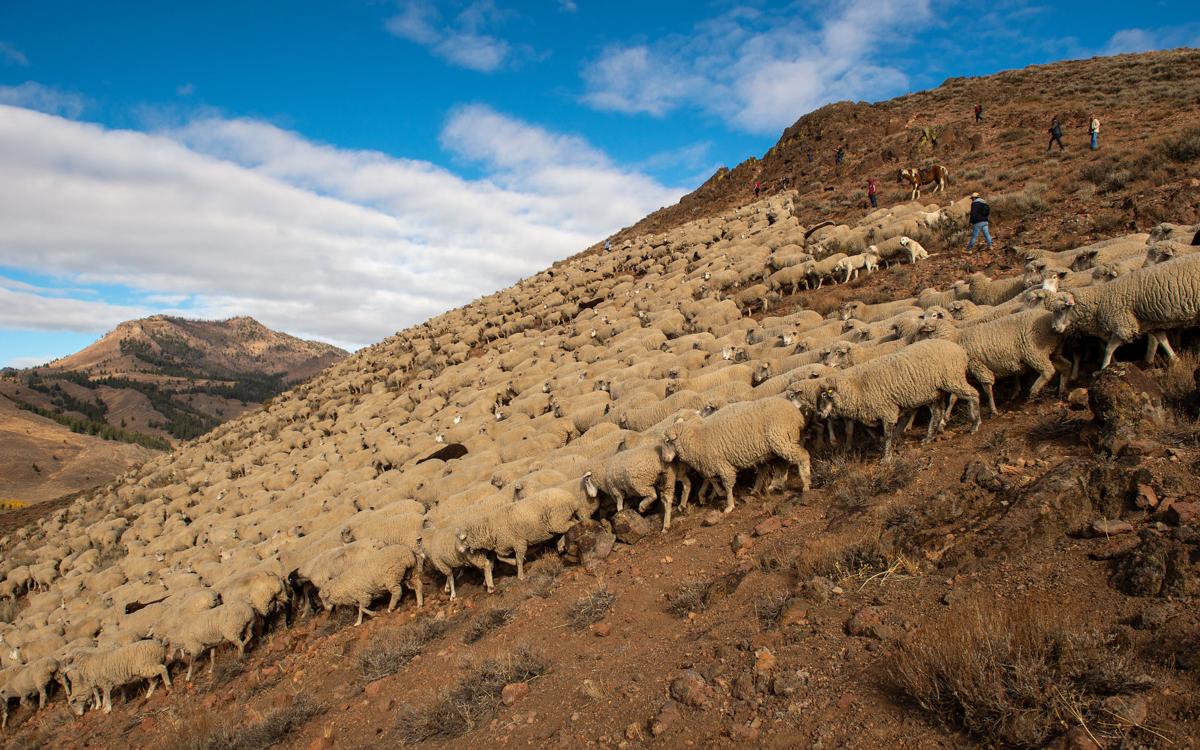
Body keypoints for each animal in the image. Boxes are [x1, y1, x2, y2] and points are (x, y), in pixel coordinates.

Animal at [660, 397, 811, 514]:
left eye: (668, 441)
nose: (665, 459)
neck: (698, 436)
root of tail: (797, 413)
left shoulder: (722, 464)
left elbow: (727, 485)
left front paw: (729, 506)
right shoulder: (711, 464)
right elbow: (712, 479)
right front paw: (716, 494)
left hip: (782, 440)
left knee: (803, 456)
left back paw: (806, 484)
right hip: (774, 448)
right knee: (781, 465)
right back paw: (771, 487)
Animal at [811, 339, 981, 461]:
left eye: (839, 352)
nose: (819, 414)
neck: (856, 385)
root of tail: (959, 349)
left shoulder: (888, 410)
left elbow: (888, 434)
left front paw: (886, 457)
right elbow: (873, 429)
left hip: (952, 378)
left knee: (973, 394)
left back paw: (975, 424)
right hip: (933, 392)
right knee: (937, 412)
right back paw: (929, 437)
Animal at [916, 312, 1070, 414]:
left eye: (934, 315)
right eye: (923, 316)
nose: (922, 327)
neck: (956, 338)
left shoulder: (977, 365)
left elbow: (987, 387)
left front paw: (993, 410)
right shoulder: (961, 373)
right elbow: (954, 396)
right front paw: (946, 418)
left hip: (1034, 351)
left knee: (1048, 371)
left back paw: (1033, 392)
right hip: (1053, 351)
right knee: (1065, 366)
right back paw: (1061, 391)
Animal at [1045, 254, 1200, 368]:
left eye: (1063, 308)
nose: (1054, 328)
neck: (1102, 298)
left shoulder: (1123, 324)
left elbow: (1109, 348)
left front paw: (1104, 368)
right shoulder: (1149, 323)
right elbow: (1162, 340)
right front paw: (1175, 360)